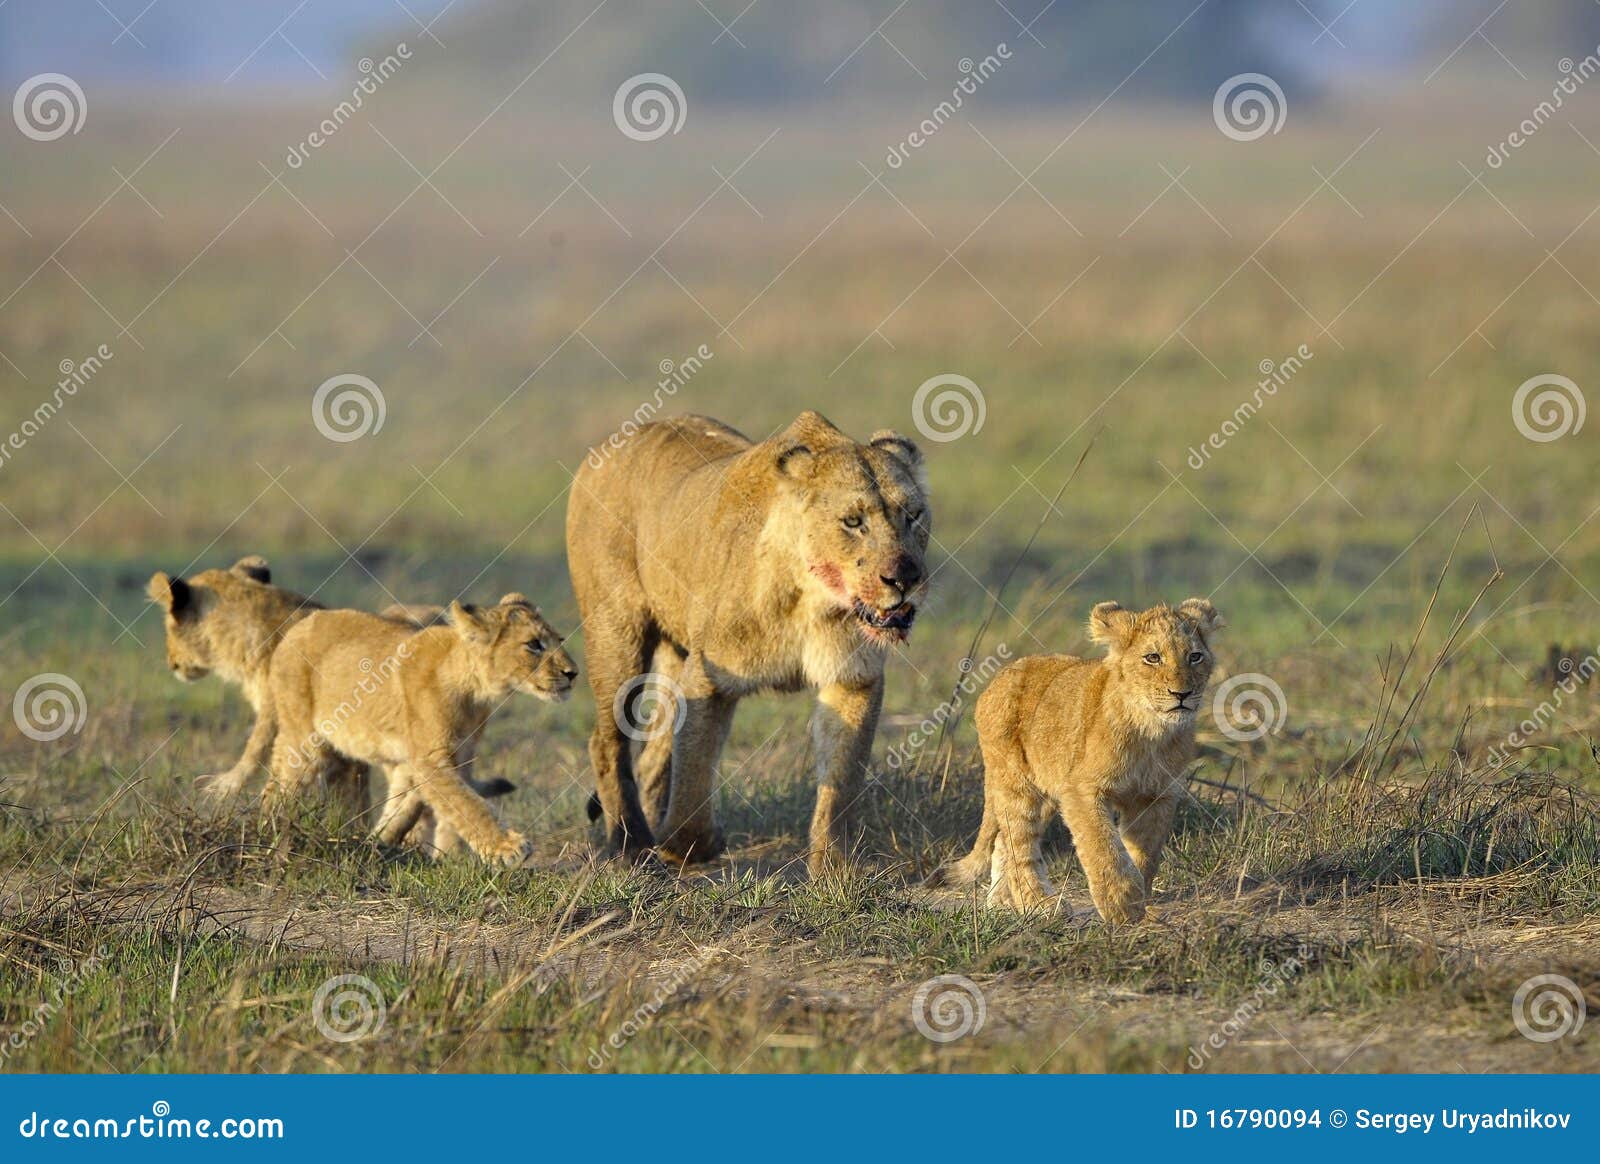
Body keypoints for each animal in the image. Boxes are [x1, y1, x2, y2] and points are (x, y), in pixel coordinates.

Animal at [260, 593, 577, 867]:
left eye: (560, 639)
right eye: (533, 644)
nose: (573, 673)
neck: (474, 691)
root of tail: (299, 625)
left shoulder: (448, 757)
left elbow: (422, 806)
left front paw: (390, 844)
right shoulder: (431, 759)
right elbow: (468, 804)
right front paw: (507, 848)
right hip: (305, 738)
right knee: (278, 783)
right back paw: (269, 832)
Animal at [566, 411, 930, 873]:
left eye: (913, 516)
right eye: (853, 521)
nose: (905, 578)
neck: (812, 601)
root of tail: (611, 446)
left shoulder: (852, 678)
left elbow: (841, 783)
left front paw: (834, 866)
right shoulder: (709, 677)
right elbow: (694, 777)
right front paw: (686, 846)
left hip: (673, 651)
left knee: (653, 752)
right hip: (617, 633)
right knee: (607, 739)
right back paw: (632, 843)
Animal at [931, 598, 1223, 924]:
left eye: (1195, 656)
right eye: (1153, 657)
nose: (1182, 694)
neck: (1152, 732)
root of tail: (999, 677)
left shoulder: (1155, 796)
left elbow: (1145, 854)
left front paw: (1140, 902)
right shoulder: (1081, 790)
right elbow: (1102, 847)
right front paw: (1122, 904)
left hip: (1045, 788)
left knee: (1002, 842)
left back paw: (1002, 902)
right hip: (1017, 783)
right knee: (1020, 847)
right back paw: (1039, 903)